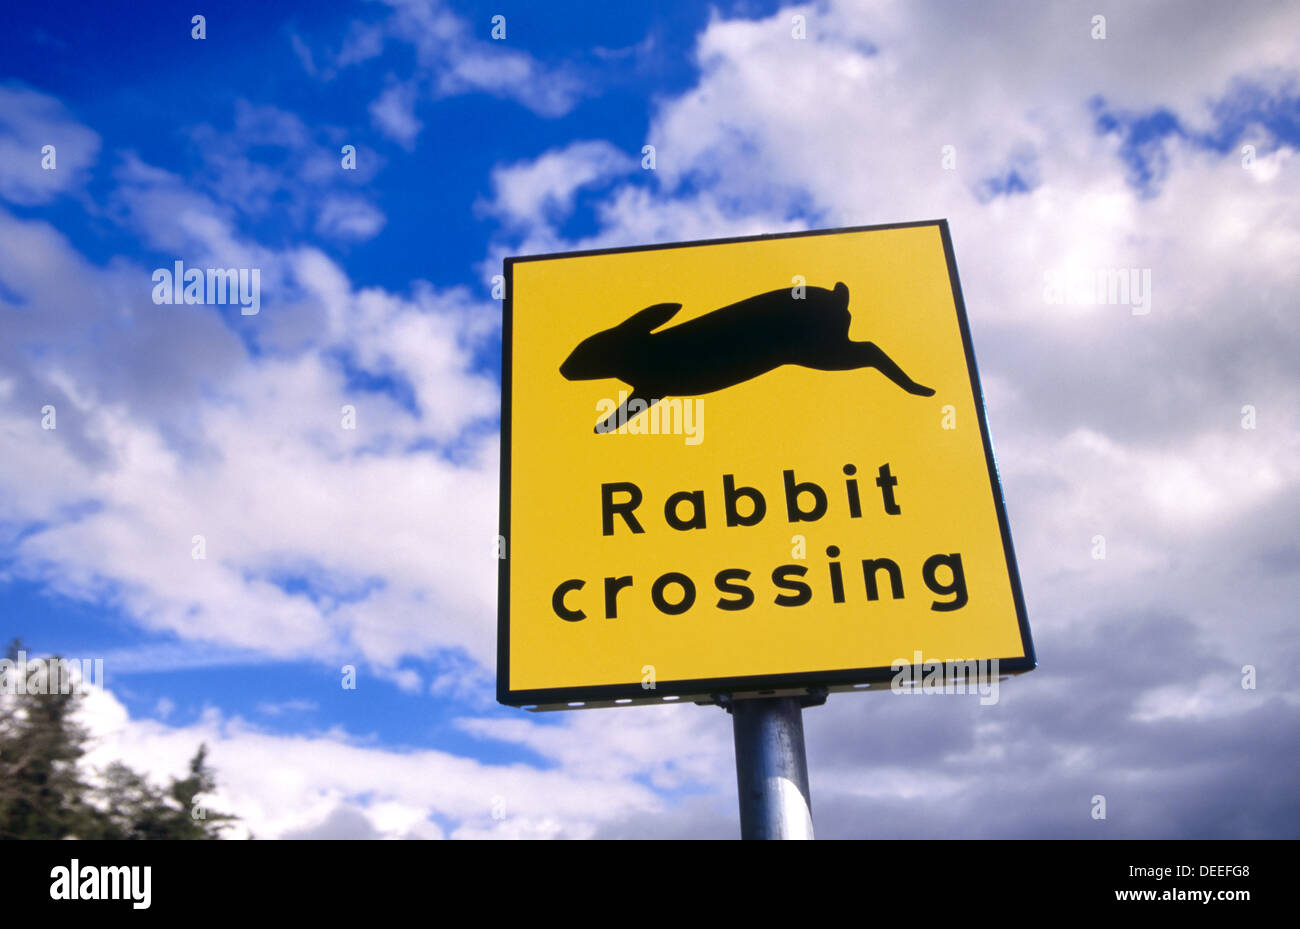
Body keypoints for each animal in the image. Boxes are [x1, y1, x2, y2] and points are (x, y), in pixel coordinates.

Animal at [560, 281, 936, 433]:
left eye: (586, 352)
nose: (563, 369)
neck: (637, 351)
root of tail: (838, 297)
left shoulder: (650, 388)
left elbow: (624, 410)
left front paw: (601, 428)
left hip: (823, 351)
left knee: (870, 349)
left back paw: (921, 390)